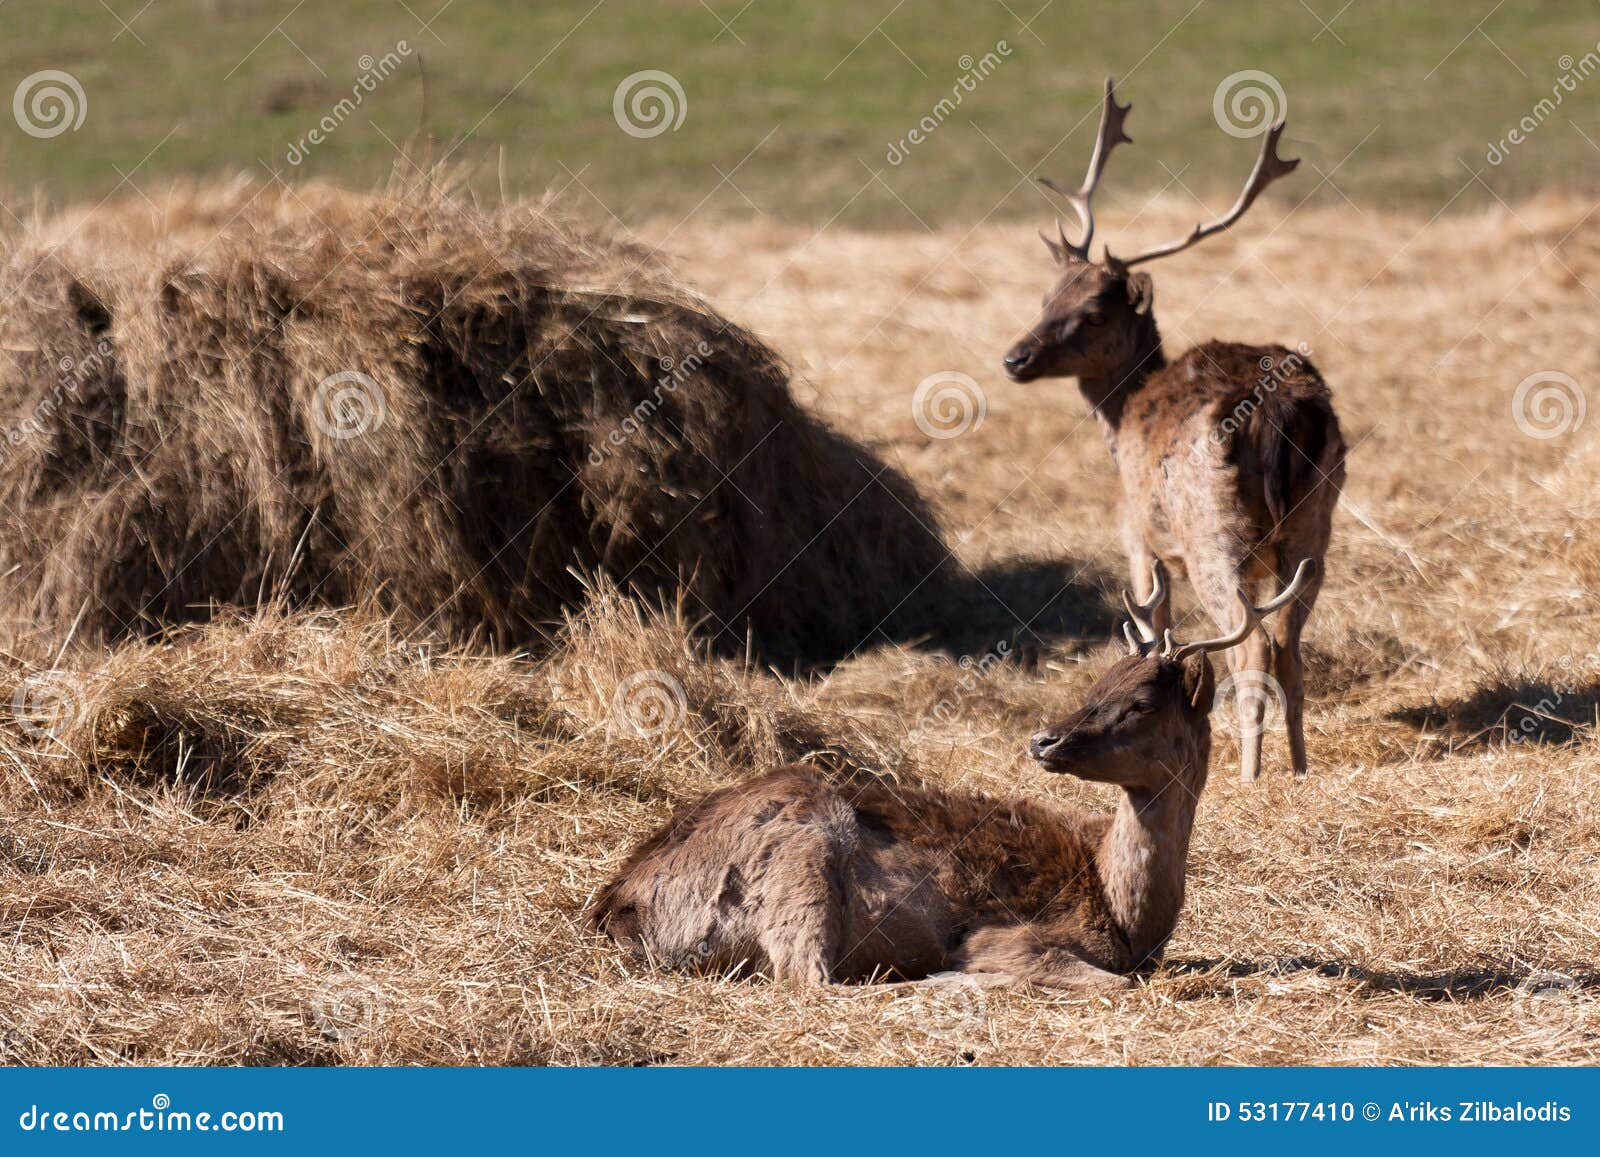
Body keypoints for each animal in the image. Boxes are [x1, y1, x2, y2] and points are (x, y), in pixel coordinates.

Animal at [590, 561, 1313, 991]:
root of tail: (617, 904)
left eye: (1137, 702)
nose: (1043, 737)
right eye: (1096, 684)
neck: (1129, 915)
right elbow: (1112, 979)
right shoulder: (1018, 932)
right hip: (799, 859)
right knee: (812, 979)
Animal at [1001, 78, 1345, 781]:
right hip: (1313, 521)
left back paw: (1249, 777)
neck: (1118, 423)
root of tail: (1277, 408)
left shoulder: (1135, 532)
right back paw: (1298, 771)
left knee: (1252, 648)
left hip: (1214, 531)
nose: (1014, 359)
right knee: (1291, 647)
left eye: (1091, 312)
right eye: (1047, 297)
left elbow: (1149, 623)